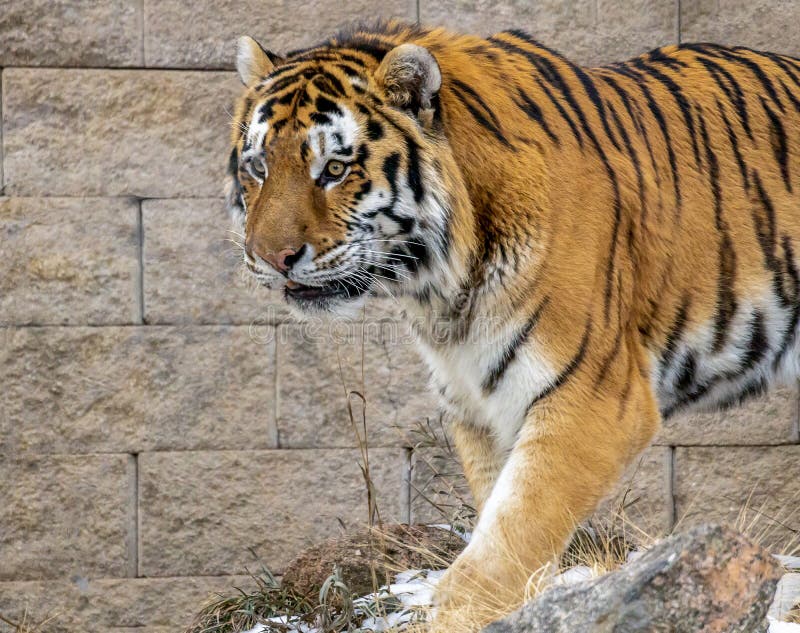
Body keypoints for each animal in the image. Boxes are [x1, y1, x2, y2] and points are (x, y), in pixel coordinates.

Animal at [225, 19, 800, 630]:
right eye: (259, 167)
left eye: (334, 170)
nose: (270, 258)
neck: (442, 291)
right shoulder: (480, 406)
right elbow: (502, 523)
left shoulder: (594, 400)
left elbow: (507, 539)